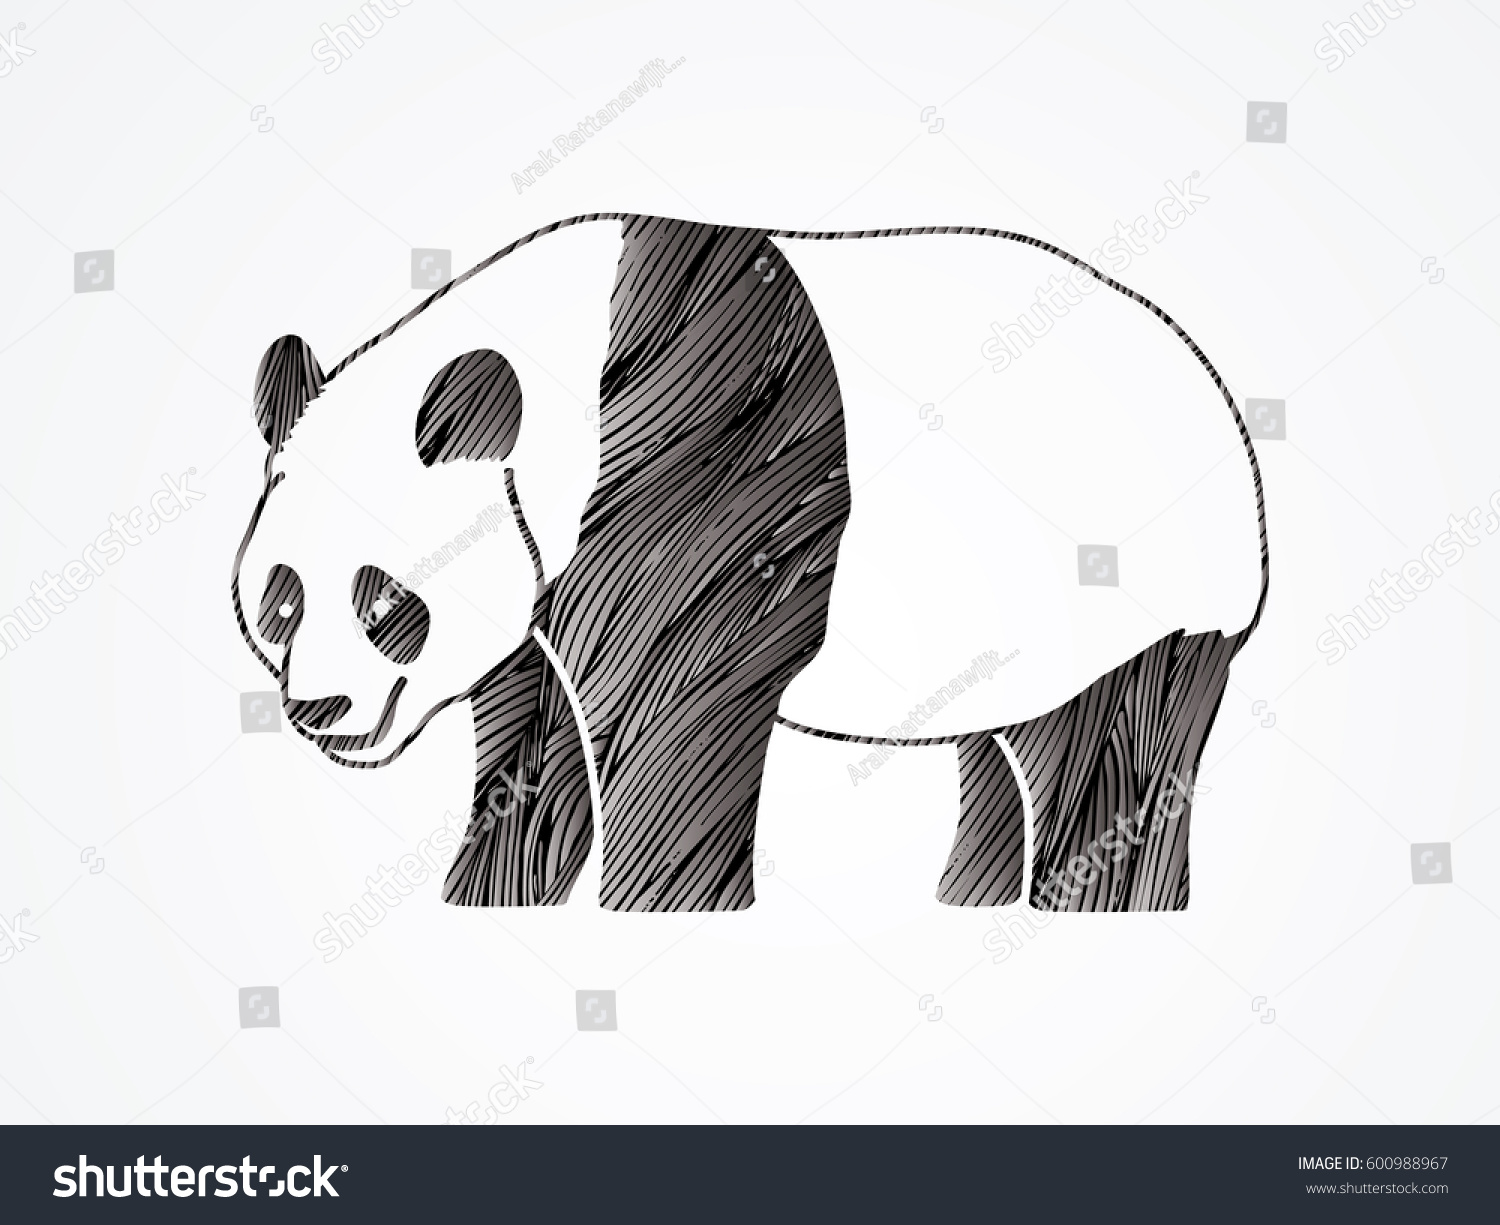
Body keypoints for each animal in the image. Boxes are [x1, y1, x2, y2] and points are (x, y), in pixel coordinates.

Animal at [231, 213, 1267, 914]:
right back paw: (968, 896)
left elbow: (675, 717)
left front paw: (659, 908)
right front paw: (493, 894)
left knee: (1119, 755)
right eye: (279, 602)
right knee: (1005, 746)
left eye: (384, 602)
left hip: (1158, 599)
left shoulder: (702, 487)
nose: (320, 708)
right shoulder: (546, 586)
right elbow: (532, 739)